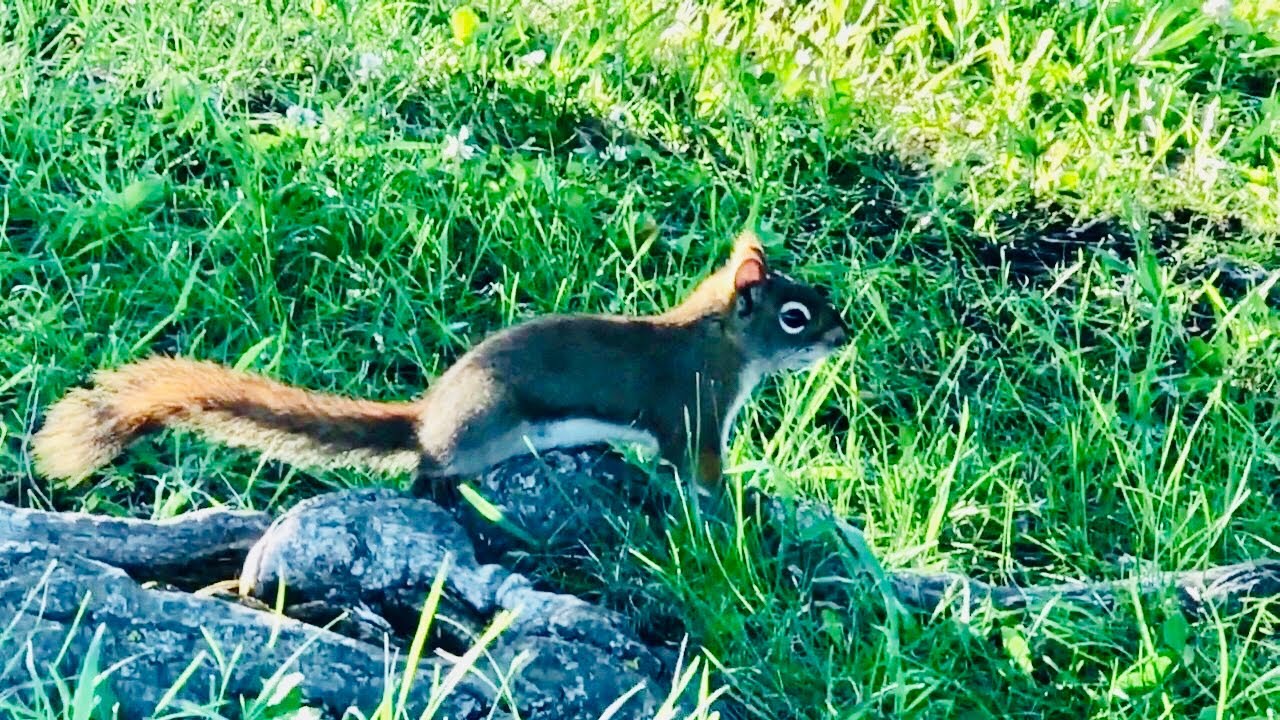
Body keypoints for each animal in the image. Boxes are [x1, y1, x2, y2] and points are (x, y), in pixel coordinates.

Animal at [30, 229, 849, 501]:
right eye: (795, 315)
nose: (844, 336)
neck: (719, 341)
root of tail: (428, 416)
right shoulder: (693, 405)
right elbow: (698, 471)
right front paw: (731, 507)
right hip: (483, 427)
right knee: (430, 467)